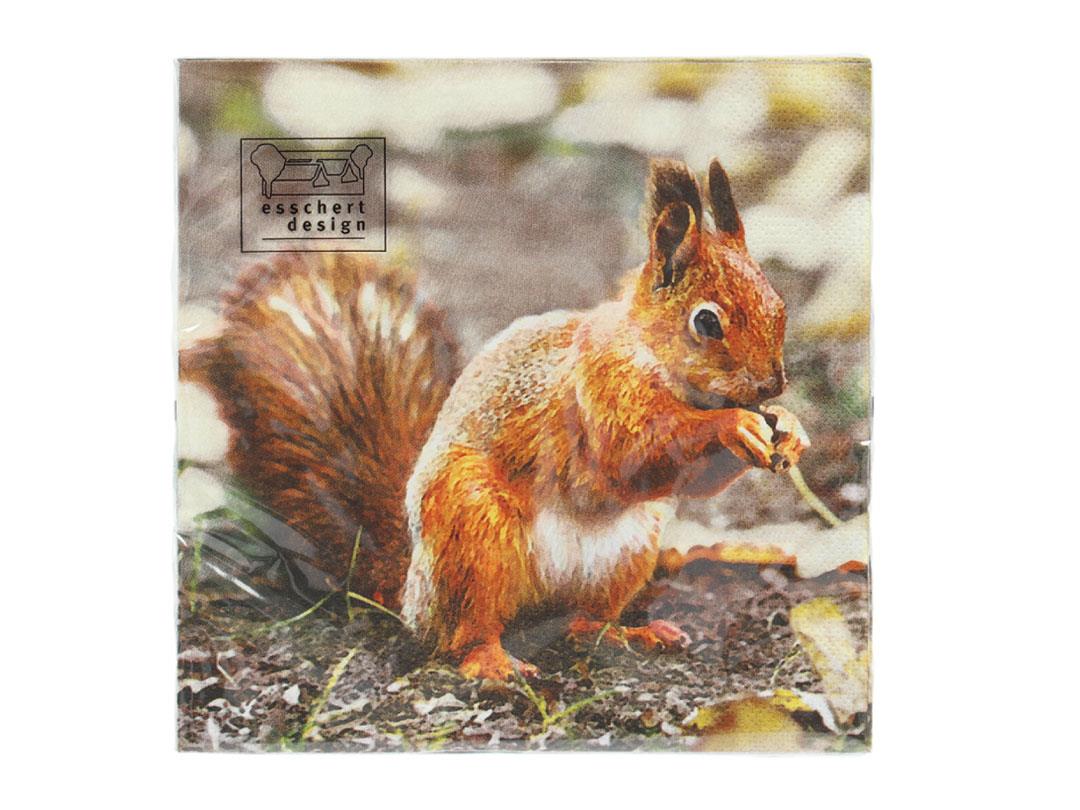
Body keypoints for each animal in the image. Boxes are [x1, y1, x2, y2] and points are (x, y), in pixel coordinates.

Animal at [181, 157, 809, 680]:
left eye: (778, 304)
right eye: (706, 322)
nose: (772, 385)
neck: (653, 358)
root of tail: (410, 590)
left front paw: (789, 429)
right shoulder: (598, 390)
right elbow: (632, 452)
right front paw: (734, 425)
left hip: (627, 549)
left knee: (580, 620)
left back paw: (626, 633)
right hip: (472, 528)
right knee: (464, 633)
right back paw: (493, 663)